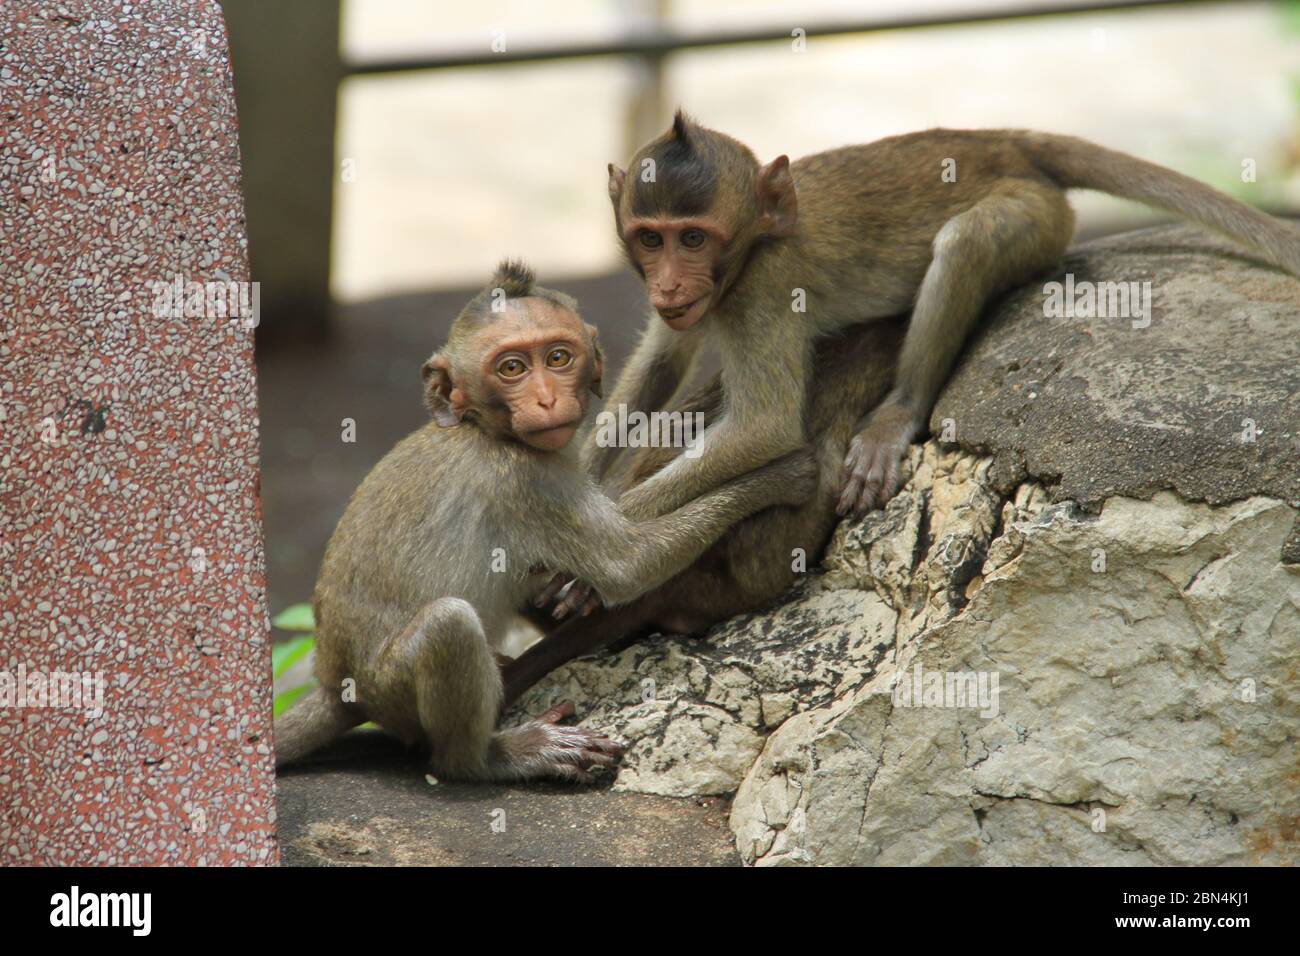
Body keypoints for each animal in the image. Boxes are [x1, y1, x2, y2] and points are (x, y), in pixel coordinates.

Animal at [273, 259, 819, 781]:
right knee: (449, 626)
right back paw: (486, 758)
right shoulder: (528, 481)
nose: (546, 399)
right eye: (511, 368)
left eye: (558, 357)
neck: (486, 430)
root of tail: (337, 685)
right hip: (393, 689)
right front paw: (779, 477)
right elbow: (627, 568)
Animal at [503, 111, 1300, 699]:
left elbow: (762, 427)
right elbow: (661, 364)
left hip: (1037, 213)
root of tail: (993, 140)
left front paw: (578, 561)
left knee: (966, 239)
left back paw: (895, 415)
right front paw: (575, 510)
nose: (669, 283)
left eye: (694, 238)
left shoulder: (764, 284)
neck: (754, 241)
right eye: (651, 240)